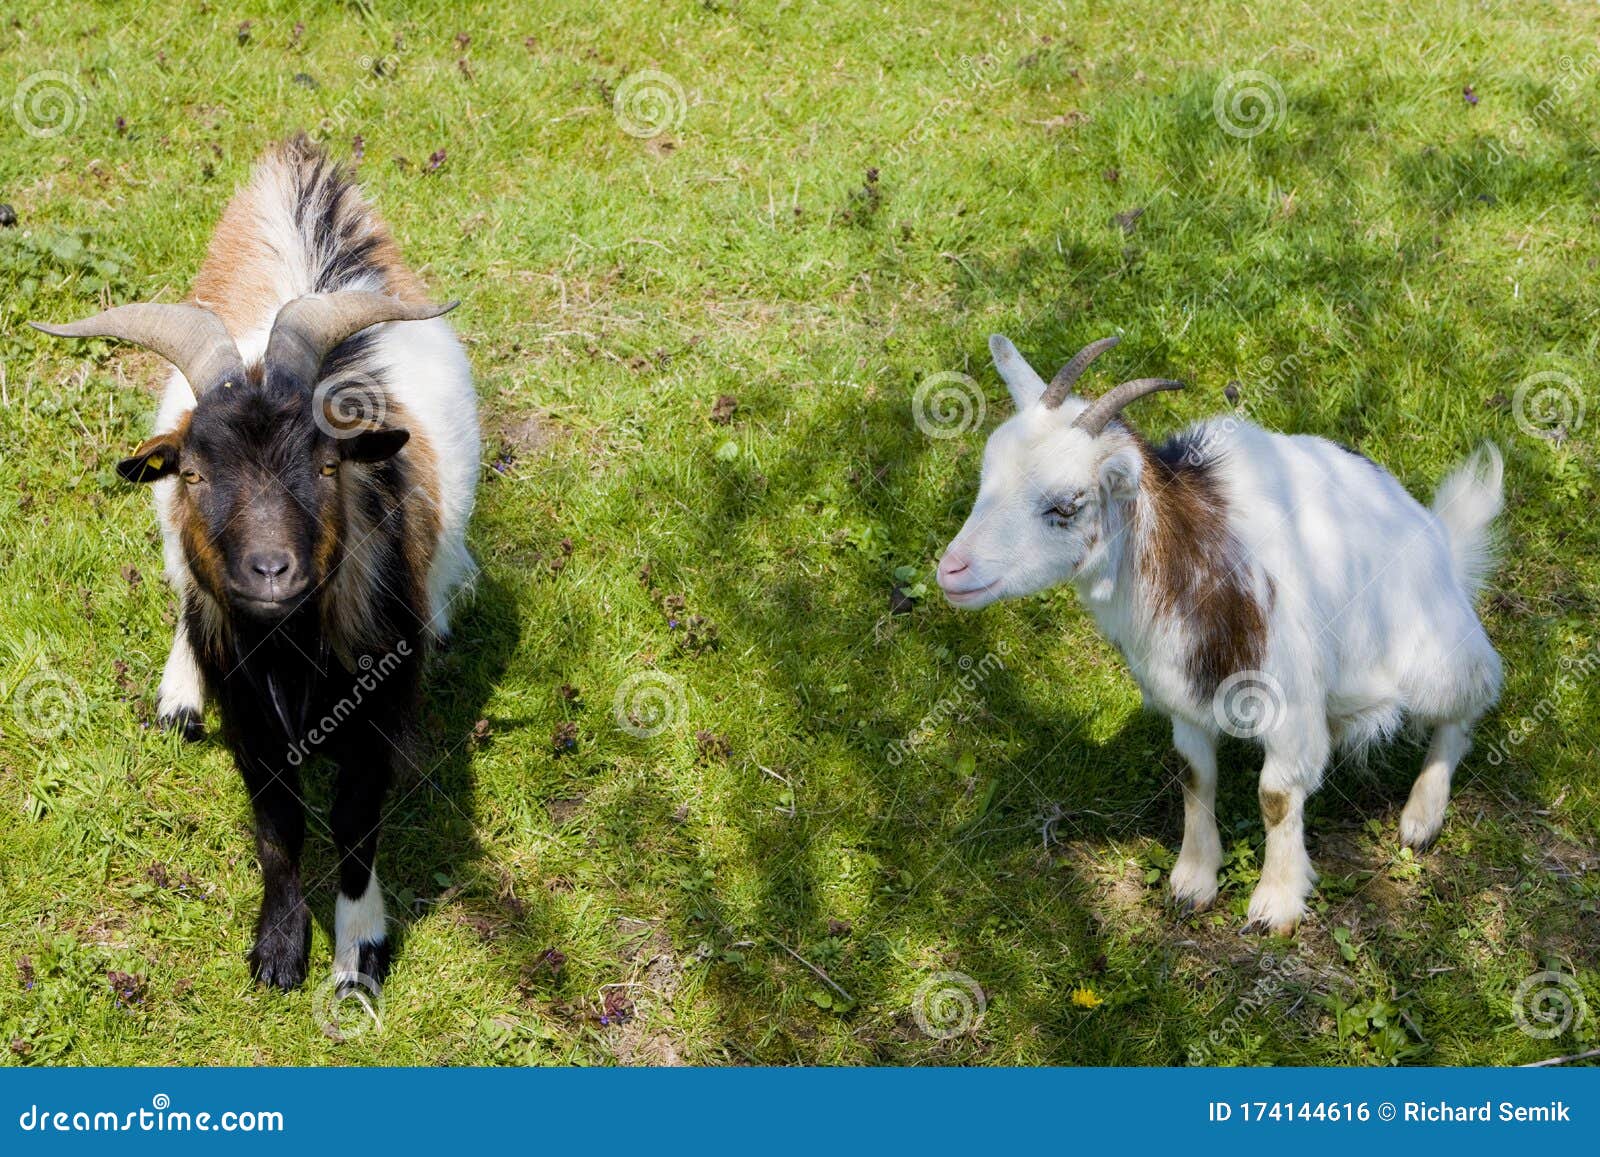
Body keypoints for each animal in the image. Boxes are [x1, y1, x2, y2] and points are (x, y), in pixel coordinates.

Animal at [33, 136, 479, 990]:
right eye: (195, 472)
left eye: (329, 463)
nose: (271, 572)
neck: (290, 653)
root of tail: (293, 172)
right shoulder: (249, 716)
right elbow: (278, 827)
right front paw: (277, 947)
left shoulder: (378, 705)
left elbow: (353, 824)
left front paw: (357, 956)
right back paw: (178, 697)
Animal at [936, 334, 1503, 934]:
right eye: (986, 474)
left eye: (1066, 505)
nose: (951, 571)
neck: (1191, 551)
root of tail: (1444, 548)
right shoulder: (1182, 694)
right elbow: (1194, 776)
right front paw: (1193, 880)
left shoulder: (1290, 701)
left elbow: (1276, 796)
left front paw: (1276, 902)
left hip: (1434, 663)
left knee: (1468, 706)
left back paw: (1422, 815)